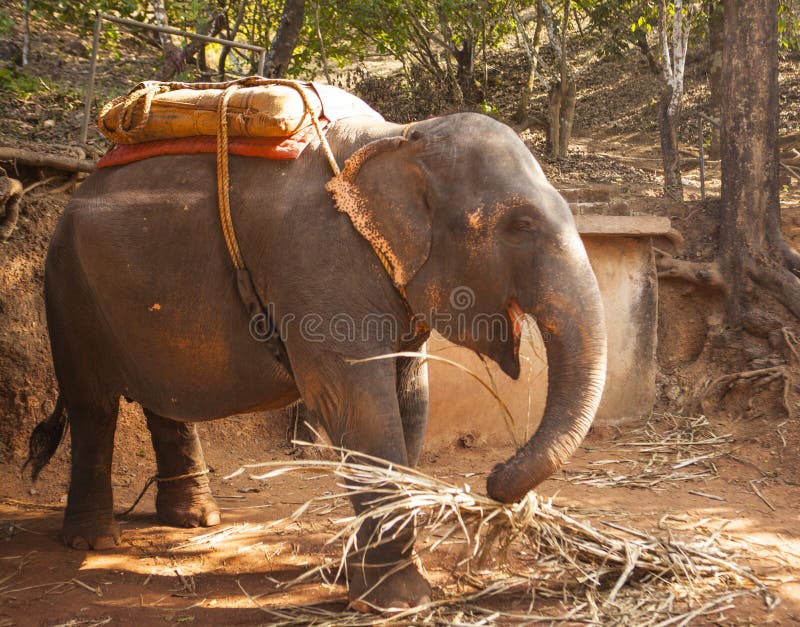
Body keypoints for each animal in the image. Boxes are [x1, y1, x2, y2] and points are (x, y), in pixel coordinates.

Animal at [26, 109, 607, 611]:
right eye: (521, 225)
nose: (493, 479)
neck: (397, 137)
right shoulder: (319, 265)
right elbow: (361, 404)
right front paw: (399, 601)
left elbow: (411, 402)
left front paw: (360, 580)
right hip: (66, 284)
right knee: (93, 407)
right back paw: (92, 542)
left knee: (163, 398)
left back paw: (196, 522)